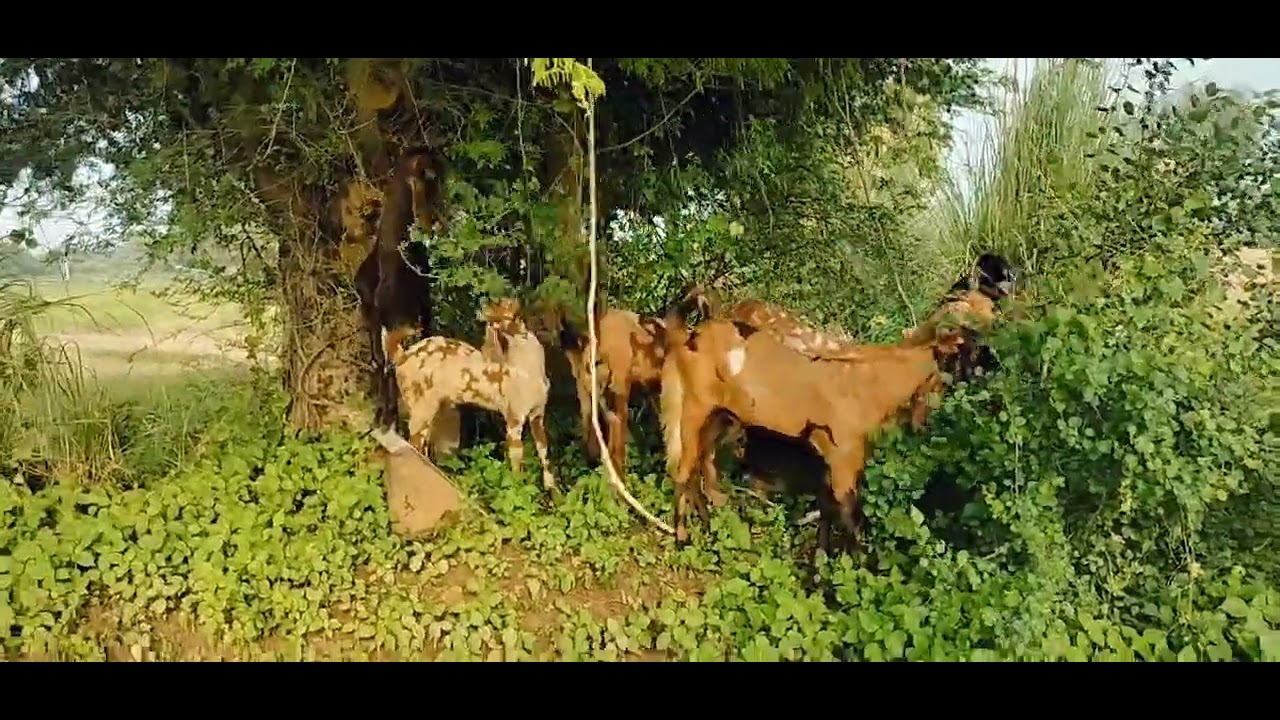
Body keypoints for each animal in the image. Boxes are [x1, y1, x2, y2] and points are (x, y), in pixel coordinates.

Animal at [384, 297, 557, 493]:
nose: (483, 310)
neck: (526, 367)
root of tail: (403, 356)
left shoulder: (538, 415)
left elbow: (544, 454)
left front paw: (553, 491)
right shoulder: (514, 418)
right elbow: (516, 463)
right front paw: (519, 489)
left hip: (443, 414)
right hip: (421, 409)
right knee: (415, 446)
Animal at [658, 301, 993, 553]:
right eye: (967, 347)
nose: (987, 369)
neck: (874, 383)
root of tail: (686, 338)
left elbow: (828, 512)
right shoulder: (845, 458)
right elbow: (851, 519)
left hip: (717, 417)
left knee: (698, 464)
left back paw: (707, 523)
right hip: (694, 408)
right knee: (683, 469)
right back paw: (683, 537)